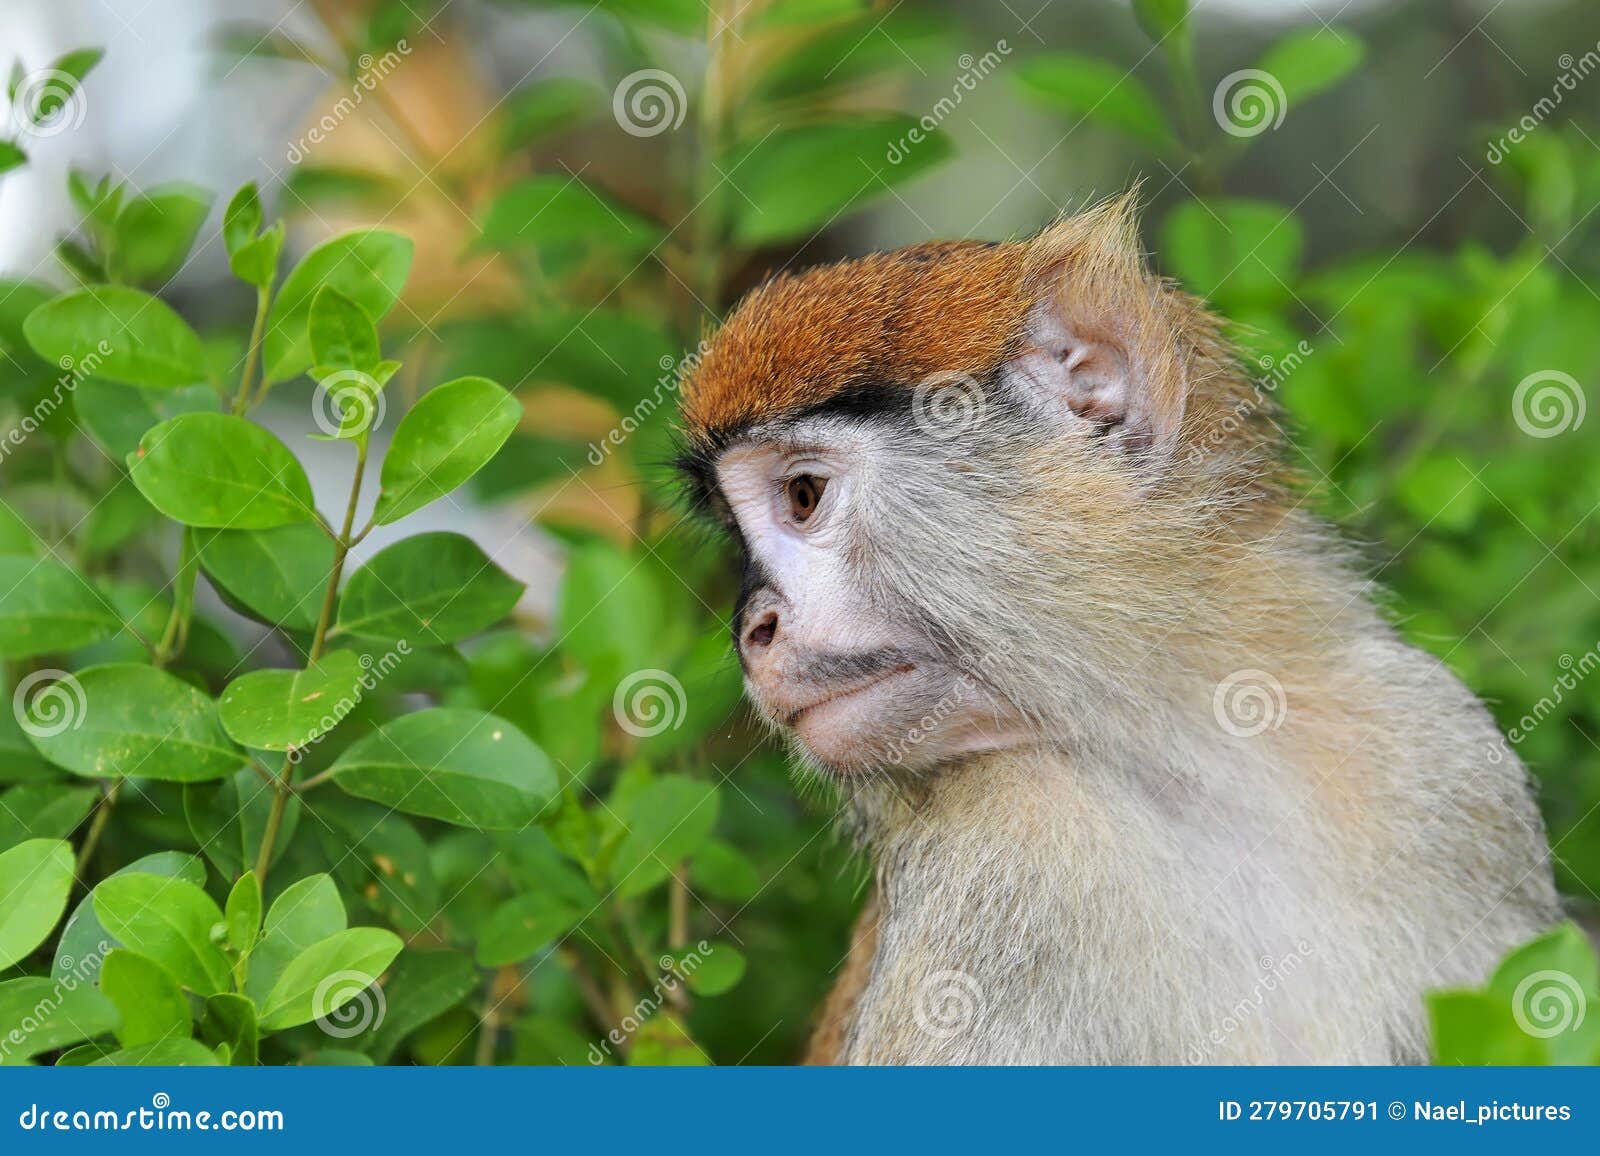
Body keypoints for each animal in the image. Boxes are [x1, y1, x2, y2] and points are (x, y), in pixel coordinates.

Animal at [673, 194, 1560, 1065]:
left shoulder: (1436, 751)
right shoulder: (1006, 851)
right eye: (739, 536)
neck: (1179, 761)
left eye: (803, 496)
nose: (753, 631)